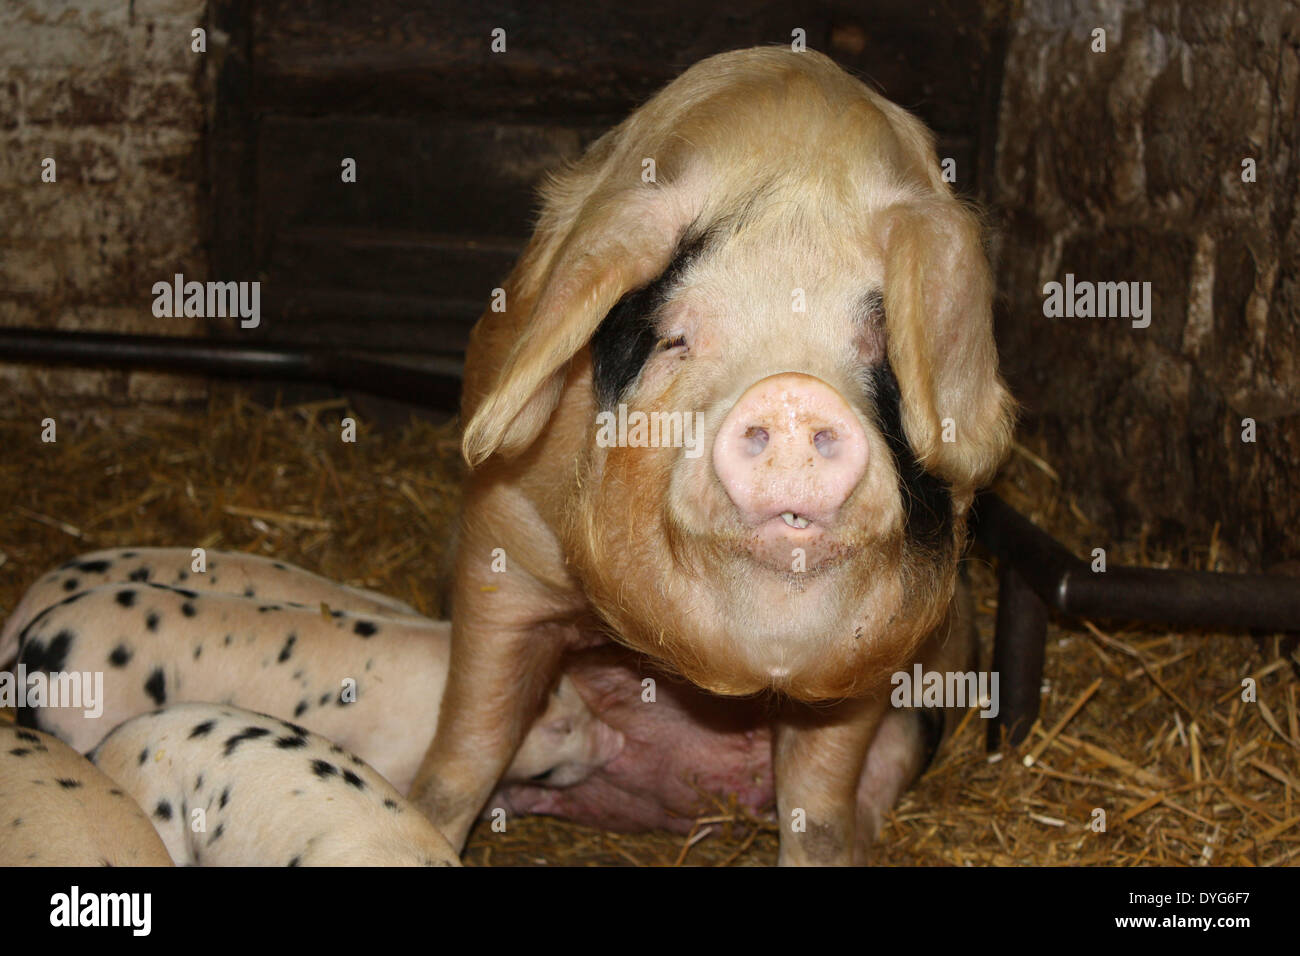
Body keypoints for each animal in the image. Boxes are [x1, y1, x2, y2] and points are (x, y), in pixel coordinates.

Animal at [411, 47, 1014, 865]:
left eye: (878, 347)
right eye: (675, 338)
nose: (791, 393)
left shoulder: (870, 665)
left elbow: (819, 804)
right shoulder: (503, 540)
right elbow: (468, 747)